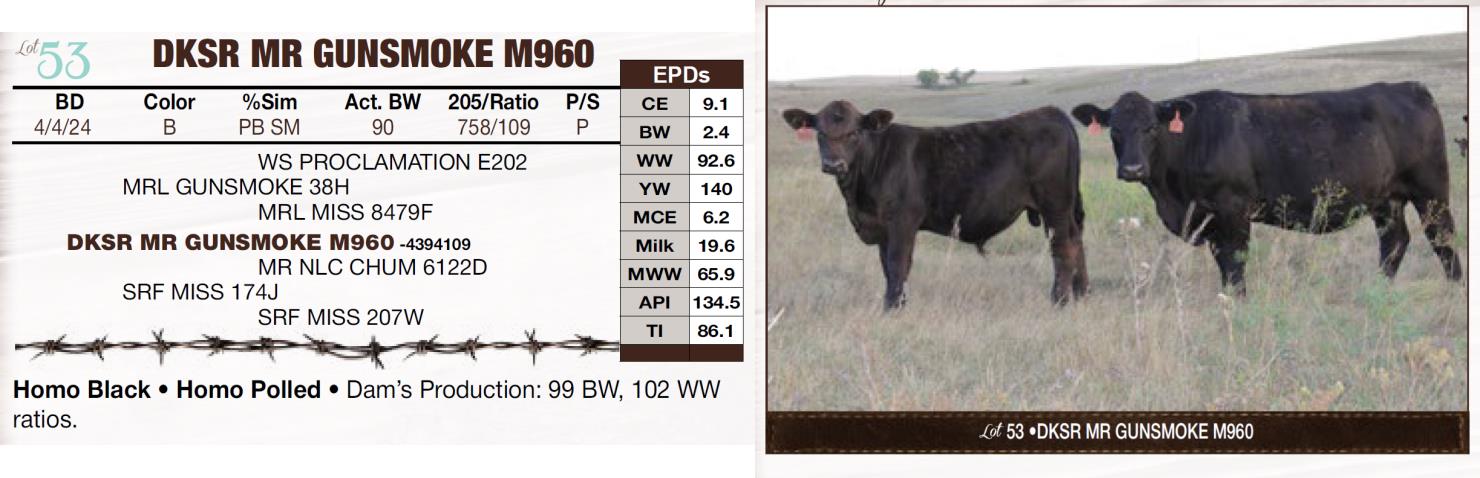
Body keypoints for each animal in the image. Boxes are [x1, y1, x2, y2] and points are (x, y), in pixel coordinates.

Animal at [782, 101, 1087, 309]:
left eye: (854, 133)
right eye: (819, 133)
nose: (833, 164)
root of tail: (1050, 112)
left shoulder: (902, 220)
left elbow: (897, 262)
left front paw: (891, 308)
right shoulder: (882, 228)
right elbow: (887, 266)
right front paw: (898, 302)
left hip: (1055, 205)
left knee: (1063, 248)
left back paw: (1059, 300)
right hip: (1065, 209)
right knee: (1077, 240)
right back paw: (1081, 292)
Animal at [1071, 82, 1461, 294]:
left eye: (1151, 127)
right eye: (1114, 130)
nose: (1132, 168)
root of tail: (1411, 87)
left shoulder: (1232, 209)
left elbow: (1235, 261)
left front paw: (1238, 302)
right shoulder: (1210, 219)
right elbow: (1223, 263)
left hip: (1431, 189)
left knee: (1441, 236)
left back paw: (1455, 288)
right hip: (1386, 199)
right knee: (1394, 241)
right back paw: (1378, 289)